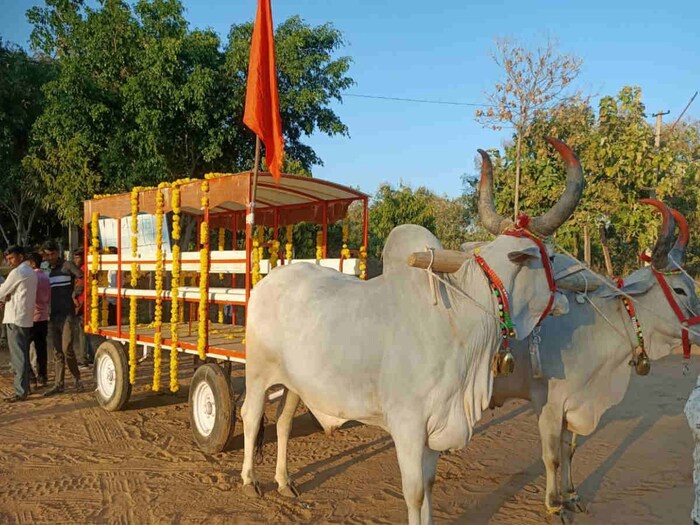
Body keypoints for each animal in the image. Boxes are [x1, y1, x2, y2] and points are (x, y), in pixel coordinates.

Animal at [240, 137, 585, 525]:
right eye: (551, 257)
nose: (571, 294)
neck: (460, 323)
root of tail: (269, 280)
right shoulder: (407, 426)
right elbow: (415, 492)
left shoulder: (436, 427)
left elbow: (430, 486)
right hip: (258, 373)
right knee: (251, 417)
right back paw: (250, 480)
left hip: (294, 383)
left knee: (283, 423)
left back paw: (284, 481)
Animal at [488, 200, 700, 522]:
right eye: (679, 290)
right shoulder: (549, 406)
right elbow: (552, 457)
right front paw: (554, 505)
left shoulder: (575, 404)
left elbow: (569, 451)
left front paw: (571, 495)